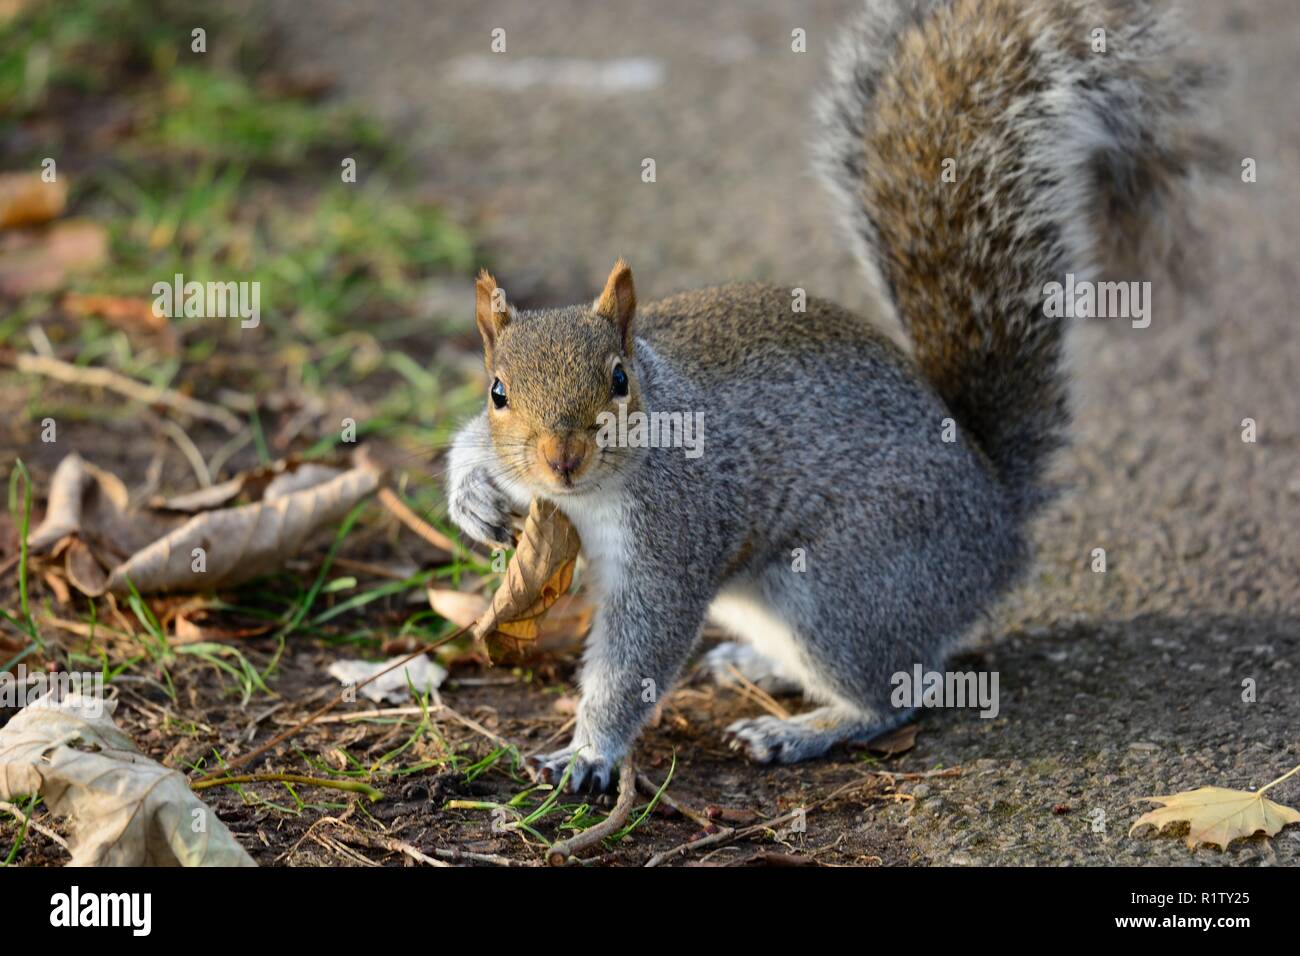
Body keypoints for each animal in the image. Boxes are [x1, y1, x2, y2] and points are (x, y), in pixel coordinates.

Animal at [446, 0, 1211, 792]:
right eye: (497, 391)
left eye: (619, 381)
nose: (560, 460)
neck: (593, 491)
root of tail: (999, 522)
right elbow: (468, 449)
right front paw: (472, 499)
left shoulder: (673, 538)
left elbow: (638, 653)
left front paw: (588, 753)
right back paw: (753, 663)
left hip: (840, 589)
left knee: (894, 695)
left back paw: (799, 730)